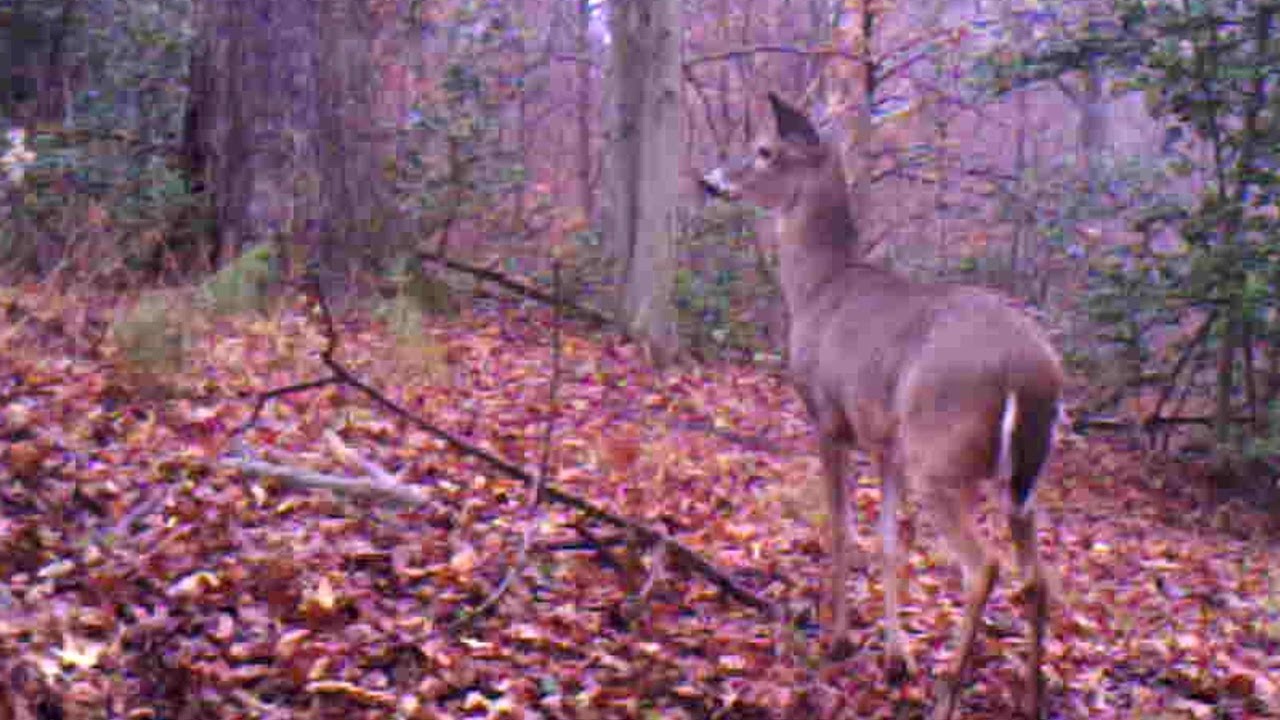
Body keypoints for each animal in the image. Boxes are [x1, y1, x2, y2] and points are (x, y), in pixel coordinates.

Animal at [701, 94, 1063, 720]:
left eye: (765, 150)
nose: (711, 179)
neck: (817, 289)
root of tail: (1031, 373)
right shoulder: (885, 442)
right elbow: (891, 542)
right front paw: (897, 655)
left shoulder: (827, 416)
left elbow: (842, 526)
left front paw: (838, 637)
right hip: (1022, 480)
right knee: (1037, 578)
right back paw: (1032, 700)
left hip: (940, 457)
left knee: (983, 566)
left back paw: (946, 696)